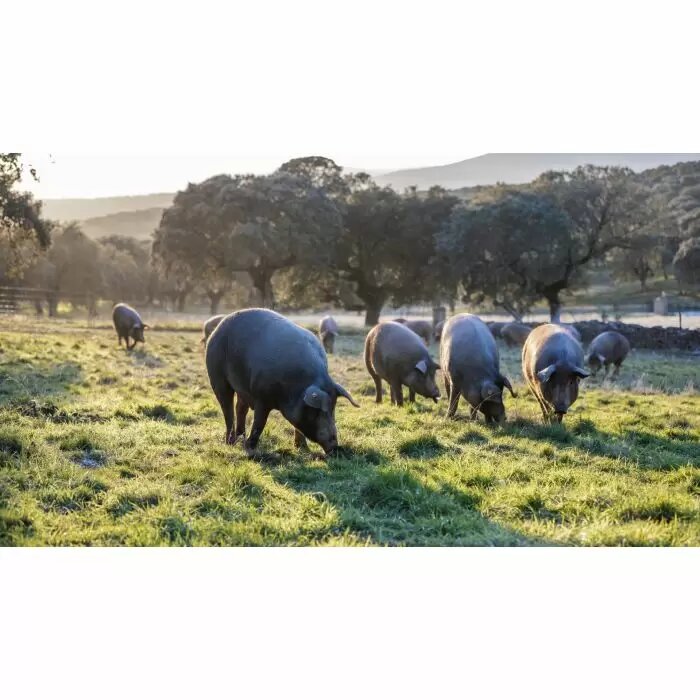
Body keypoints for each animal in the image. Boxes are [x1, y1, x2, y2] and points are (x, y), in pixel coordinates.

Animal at [206, 308, 359, 456]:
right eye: (319, 412)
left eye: (334, 409)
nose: (336, 447)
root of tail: (219, 327)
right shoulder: (261, 398)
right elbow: (259, 423)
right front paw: (250, 448)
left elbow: (297, 427)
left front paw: (302, 448)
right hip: (217, 376)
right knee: (227, 409)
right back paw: (231, 442)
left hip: (242, 387)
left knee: (240, 408)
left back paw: (240, 437)